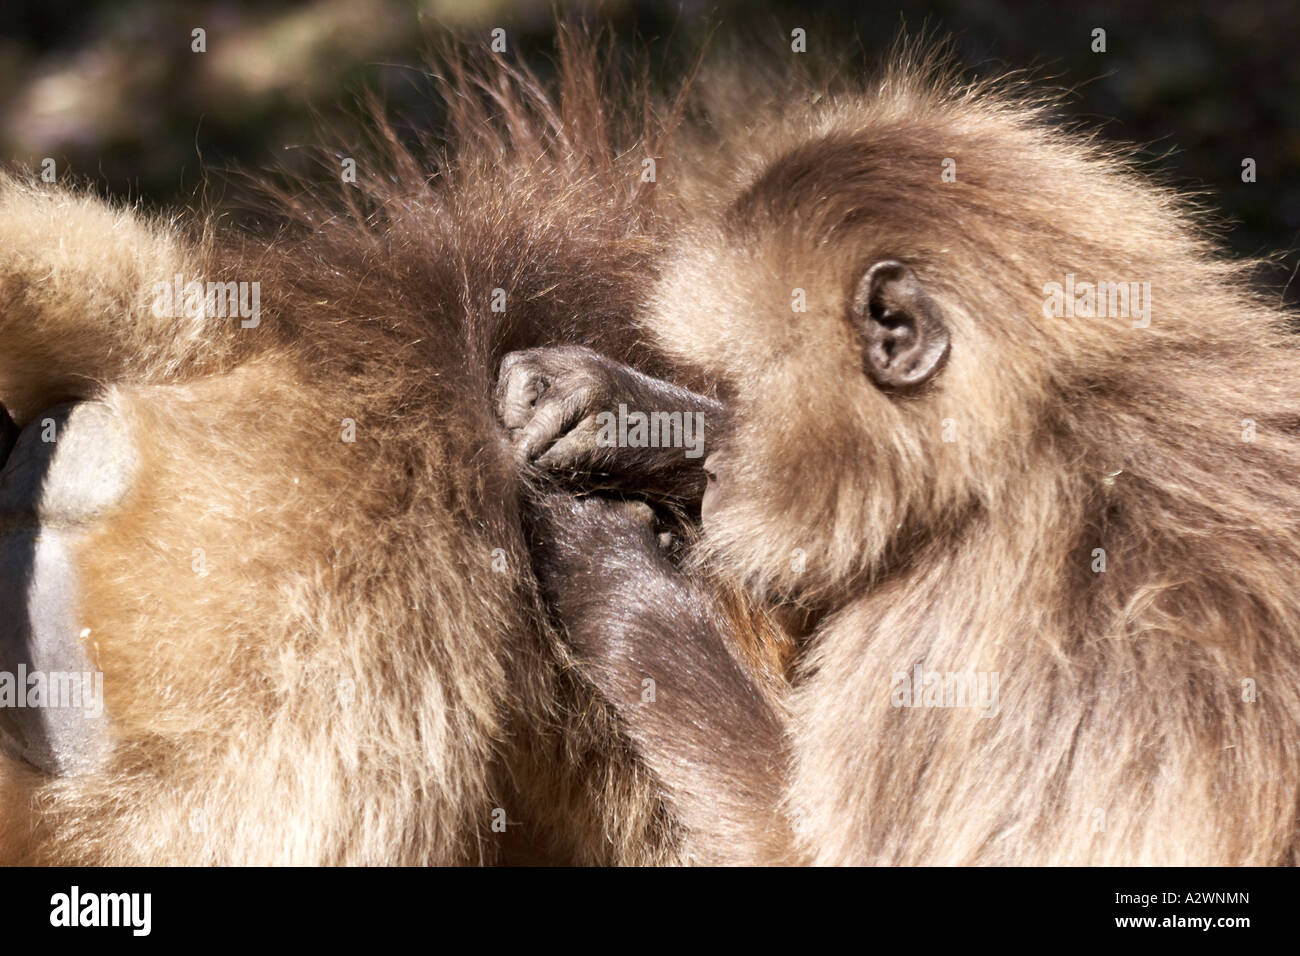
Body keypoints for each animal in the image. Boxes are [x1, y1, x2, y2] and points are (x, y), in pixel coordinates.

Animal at [501, 49, 1300, 865]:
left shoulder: (942, 636)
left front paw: (610, 565)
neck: (1040, 433)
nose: (721, 474)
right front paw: (613, 411)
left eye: (745, 389)